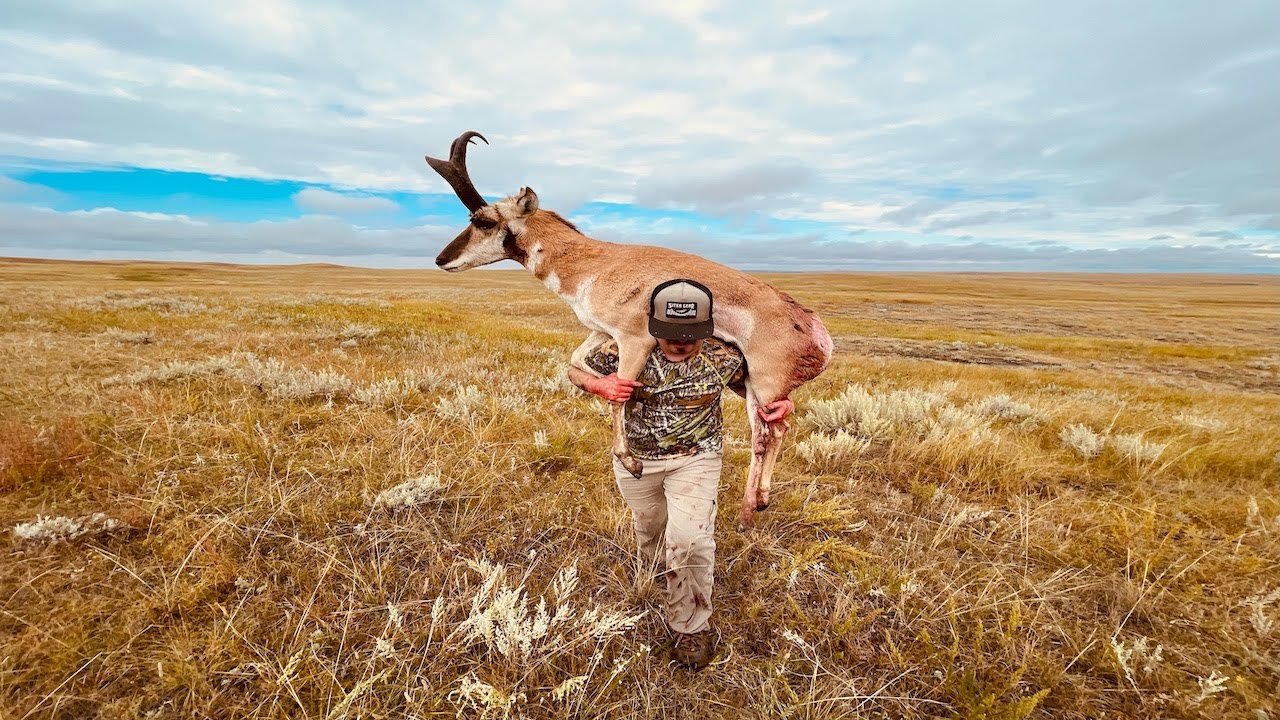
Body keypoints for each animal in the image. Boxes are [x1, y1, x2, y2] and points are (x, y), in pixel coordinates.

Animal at [426, 131, 833, 528]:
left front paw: (631, 460)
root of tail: (816, 330)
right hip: (747, 386)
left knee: (766, 434)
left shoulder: (634, 340)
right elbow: (577, 365)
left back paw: (748, 511)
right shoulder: (600, 333)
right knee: (776, 430)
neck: (595, 262)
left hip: (764, 387)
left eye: (484, 221)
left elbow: (617, 398)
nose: (441, 259)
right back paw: (760, 501)